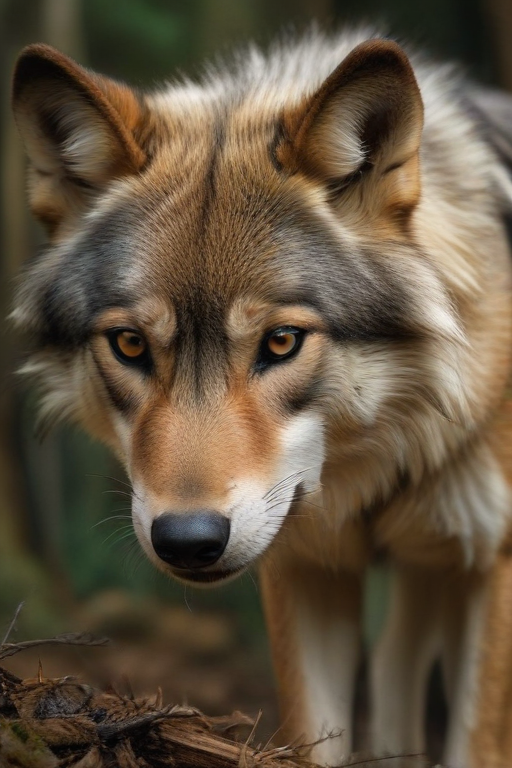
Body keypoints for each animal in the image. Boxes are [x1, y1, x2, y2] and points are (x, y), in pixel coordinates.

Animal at [11, 27, 512, 767]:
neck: (381, 460)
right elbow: (313, 739)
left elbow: (476, 743)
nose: (187, 541)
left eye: (280, 342)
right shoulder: (304, 565)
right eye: (130, 345)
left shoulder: (492, 566)